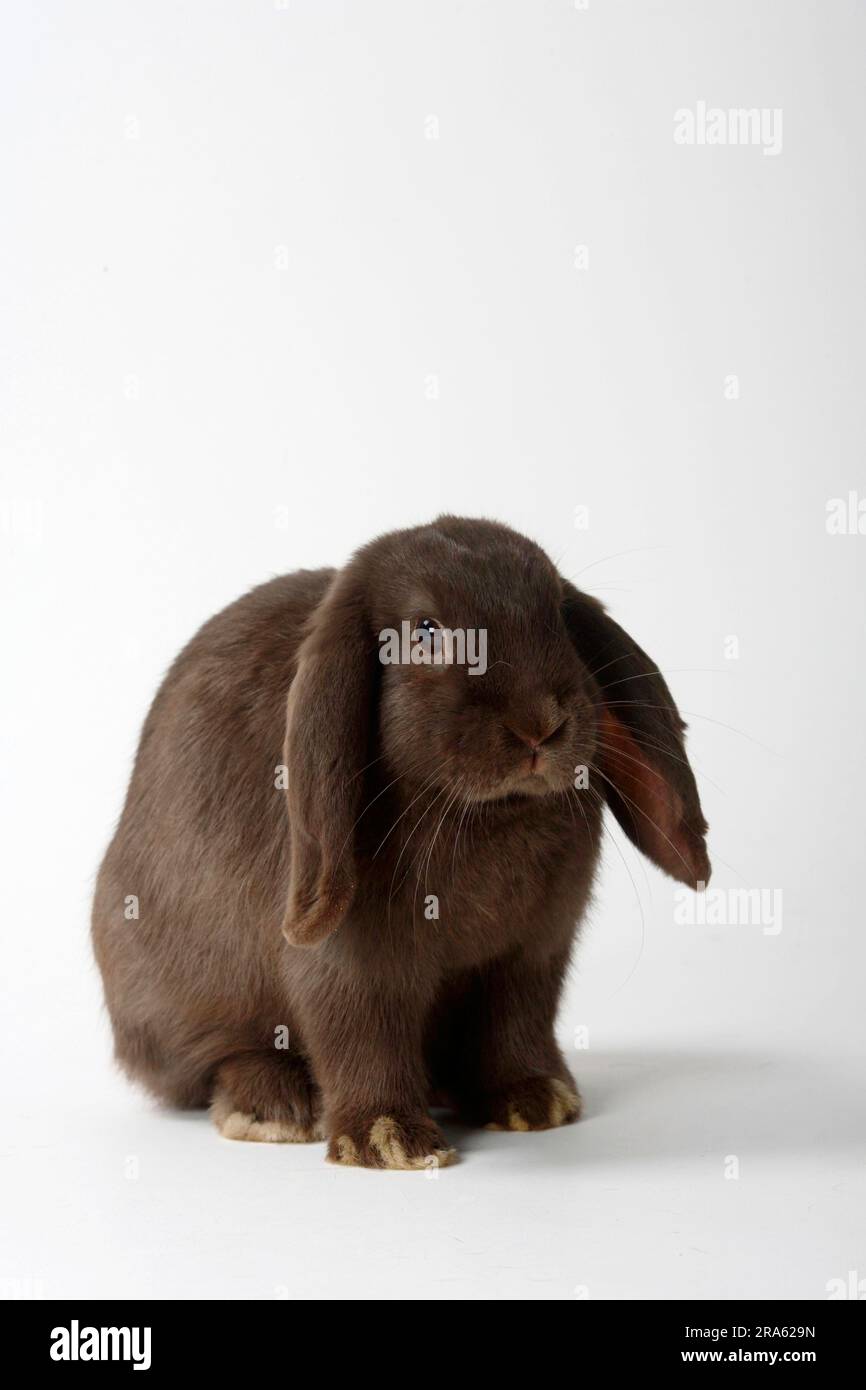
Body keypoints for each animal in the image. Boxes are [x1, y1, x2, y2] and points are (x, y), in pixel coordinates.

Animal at [92, 516, 709, 1169]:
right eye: (426, 633)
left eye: (559, 617)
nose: (541, 724)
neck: (482, 813)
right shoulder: (352, 964)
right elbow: (362, 1035)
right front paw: (388, 1140)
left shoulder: (530, 955)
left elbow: (515, 1025)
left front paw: (536, 1101)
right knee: (218, 1058)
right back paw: (274, 1107)